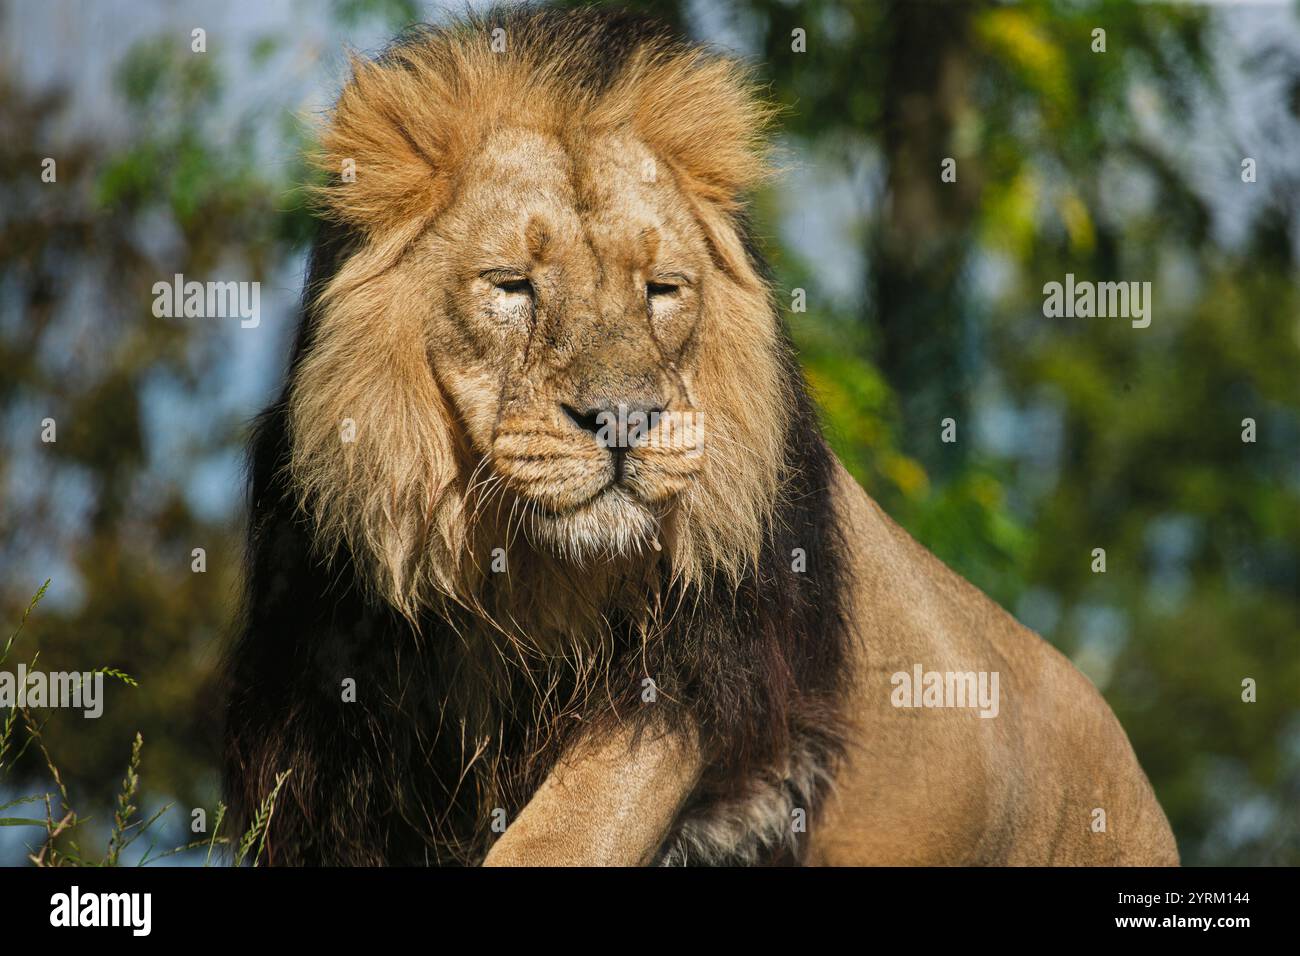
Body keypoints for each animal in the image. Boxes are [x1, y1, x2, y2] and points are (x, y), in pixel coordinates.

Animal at [222, 6, 1179, 866]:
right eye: (513, 285)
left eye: (662, 289)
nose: (623, 419)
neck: (520, 577)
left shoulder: (691, 681)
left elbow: (561, 835)